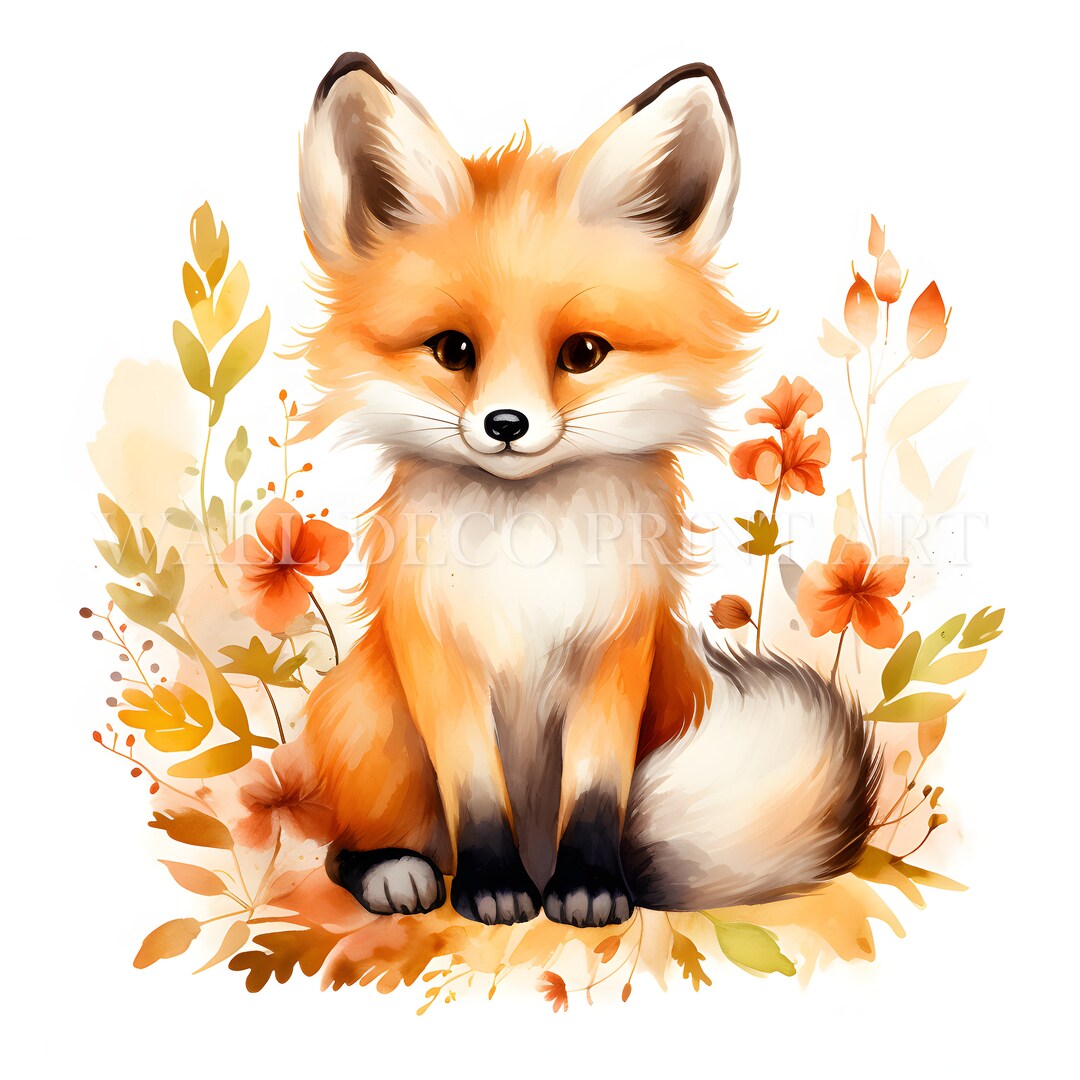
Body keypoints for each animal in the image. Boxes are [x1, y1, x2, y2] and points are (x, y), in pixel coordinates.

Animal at [297, 52, 879, 927]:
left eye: (582, 353)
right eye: (453, 349)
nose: (505, 423)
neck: (527, 557)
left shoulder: (616, 656)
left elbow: (597, 793)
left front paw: (593, 886)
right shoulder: (439, 657)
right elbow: (474, 794)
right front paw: (491, 888)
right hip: (366, 718)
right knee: (349, 844)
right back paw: (394, 868)